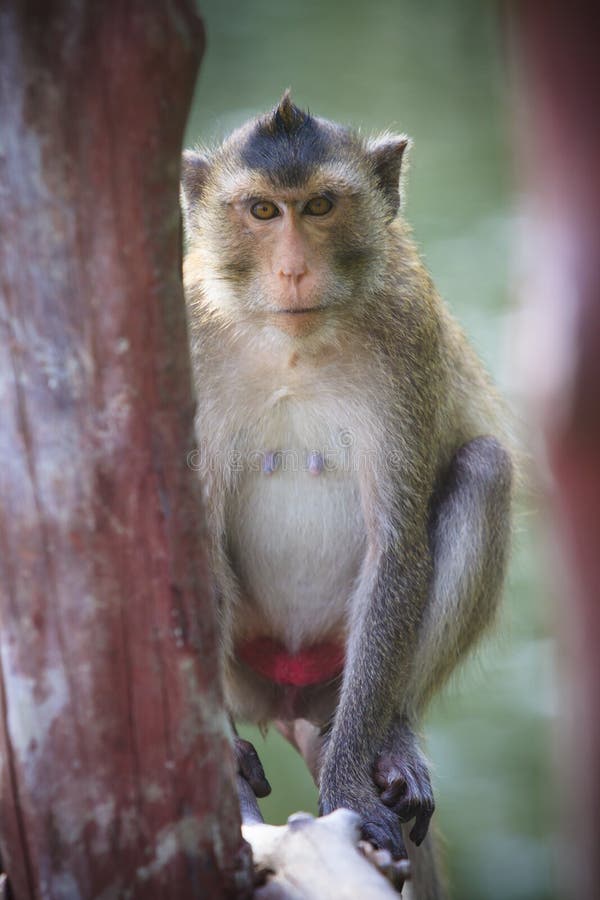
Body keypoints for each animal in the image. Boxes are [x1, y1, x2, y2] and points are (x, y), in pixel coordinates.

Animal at [181, 92, 513, 899]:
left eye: (321, 206)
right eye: (262, 210)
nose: (295, 268)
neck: (293, 346)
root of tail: (297, 698)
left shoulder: (407, 340)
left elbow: (397, 546)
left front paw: (351, 791)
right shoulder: (188, 341)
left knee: (485, 470)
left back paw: (385, 741)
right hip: (247, 673)